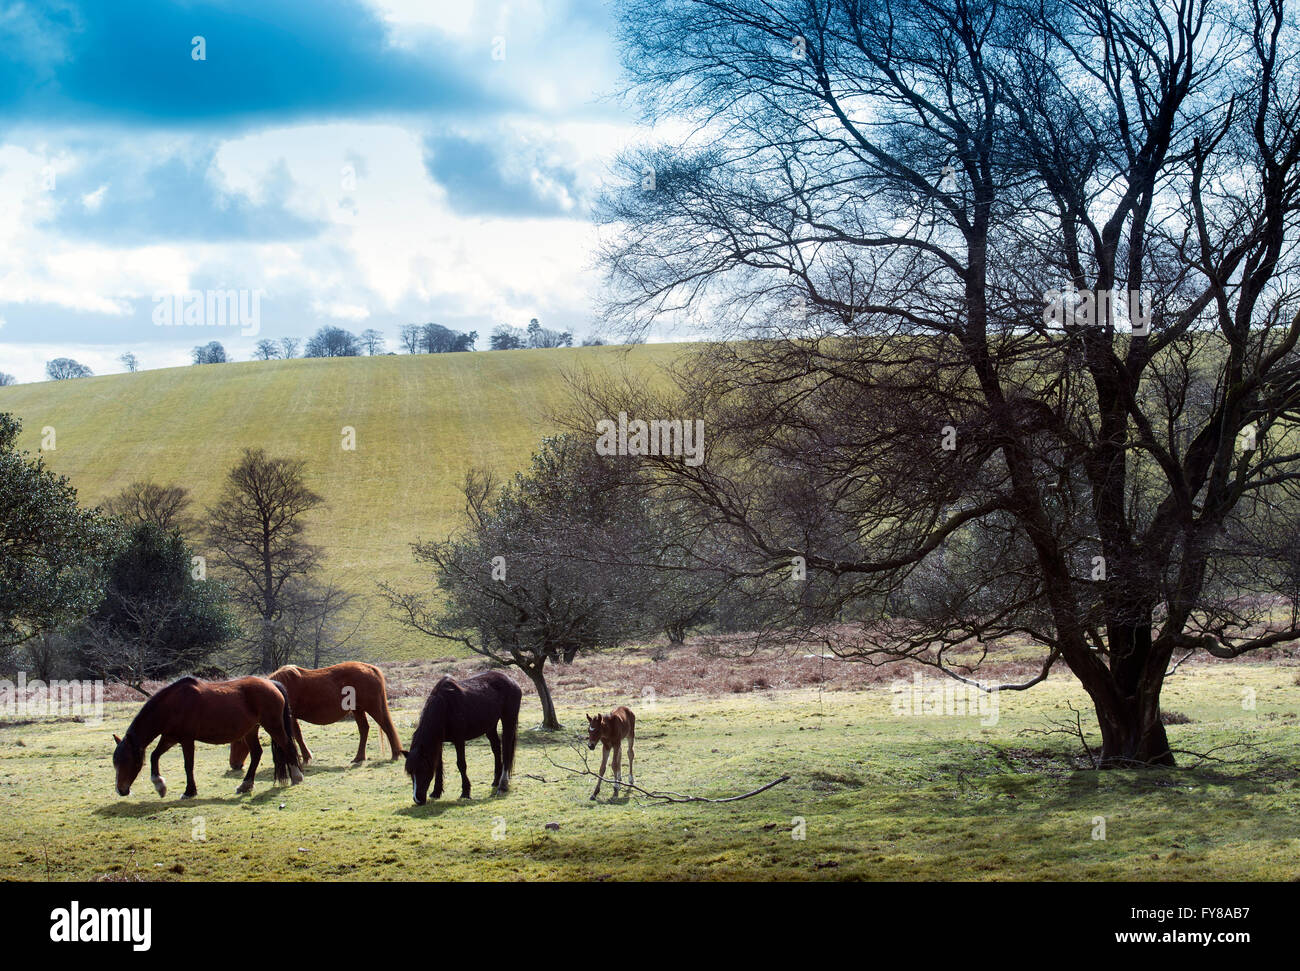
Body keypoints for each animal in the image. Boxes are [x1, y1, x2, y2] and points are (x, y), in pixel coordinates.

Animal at [113, 675, 303, 798]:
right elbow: (154, 756)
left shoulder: (186, 740)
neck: (172, 705)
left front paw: (189, 791)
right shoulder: (170, 737)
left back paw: (296, 777)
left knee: (287, 745)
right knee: (257, 753)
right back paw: (245, 785)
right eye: (116, 762)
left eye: (128, 762)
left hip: (273, 725)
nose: (121, 790)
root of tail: (271, 683)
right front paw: (160, 785)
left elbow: (188, 765)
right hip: (251, 730)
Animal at [227, 661, 403, 769]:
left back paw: (395, 754)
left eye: (237, 742)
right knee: (364, 730)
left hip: (372, 708)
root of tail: (370, 668)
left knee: (386, 727)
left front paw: (304, 757)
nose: (234, 765)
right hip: (358, 709)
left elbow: (296, 736)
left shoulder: (290, 717)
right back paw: (359, 757)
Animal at [405, 671, 521, 804]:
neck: (445, 706)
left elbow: (461, 764)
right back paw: (496, 781)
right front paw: (436, 792)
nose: (417, 799)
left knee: (506, 750)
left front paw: (465, 792)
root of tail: (512, 681)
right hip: (490, 726)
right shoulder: (439, 741)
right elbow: (438, 765)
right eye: (410, 773)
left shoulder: (459, 740)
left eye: (422, 769)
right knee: (496, 748)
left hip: (509, 720)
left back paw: (502, 784)